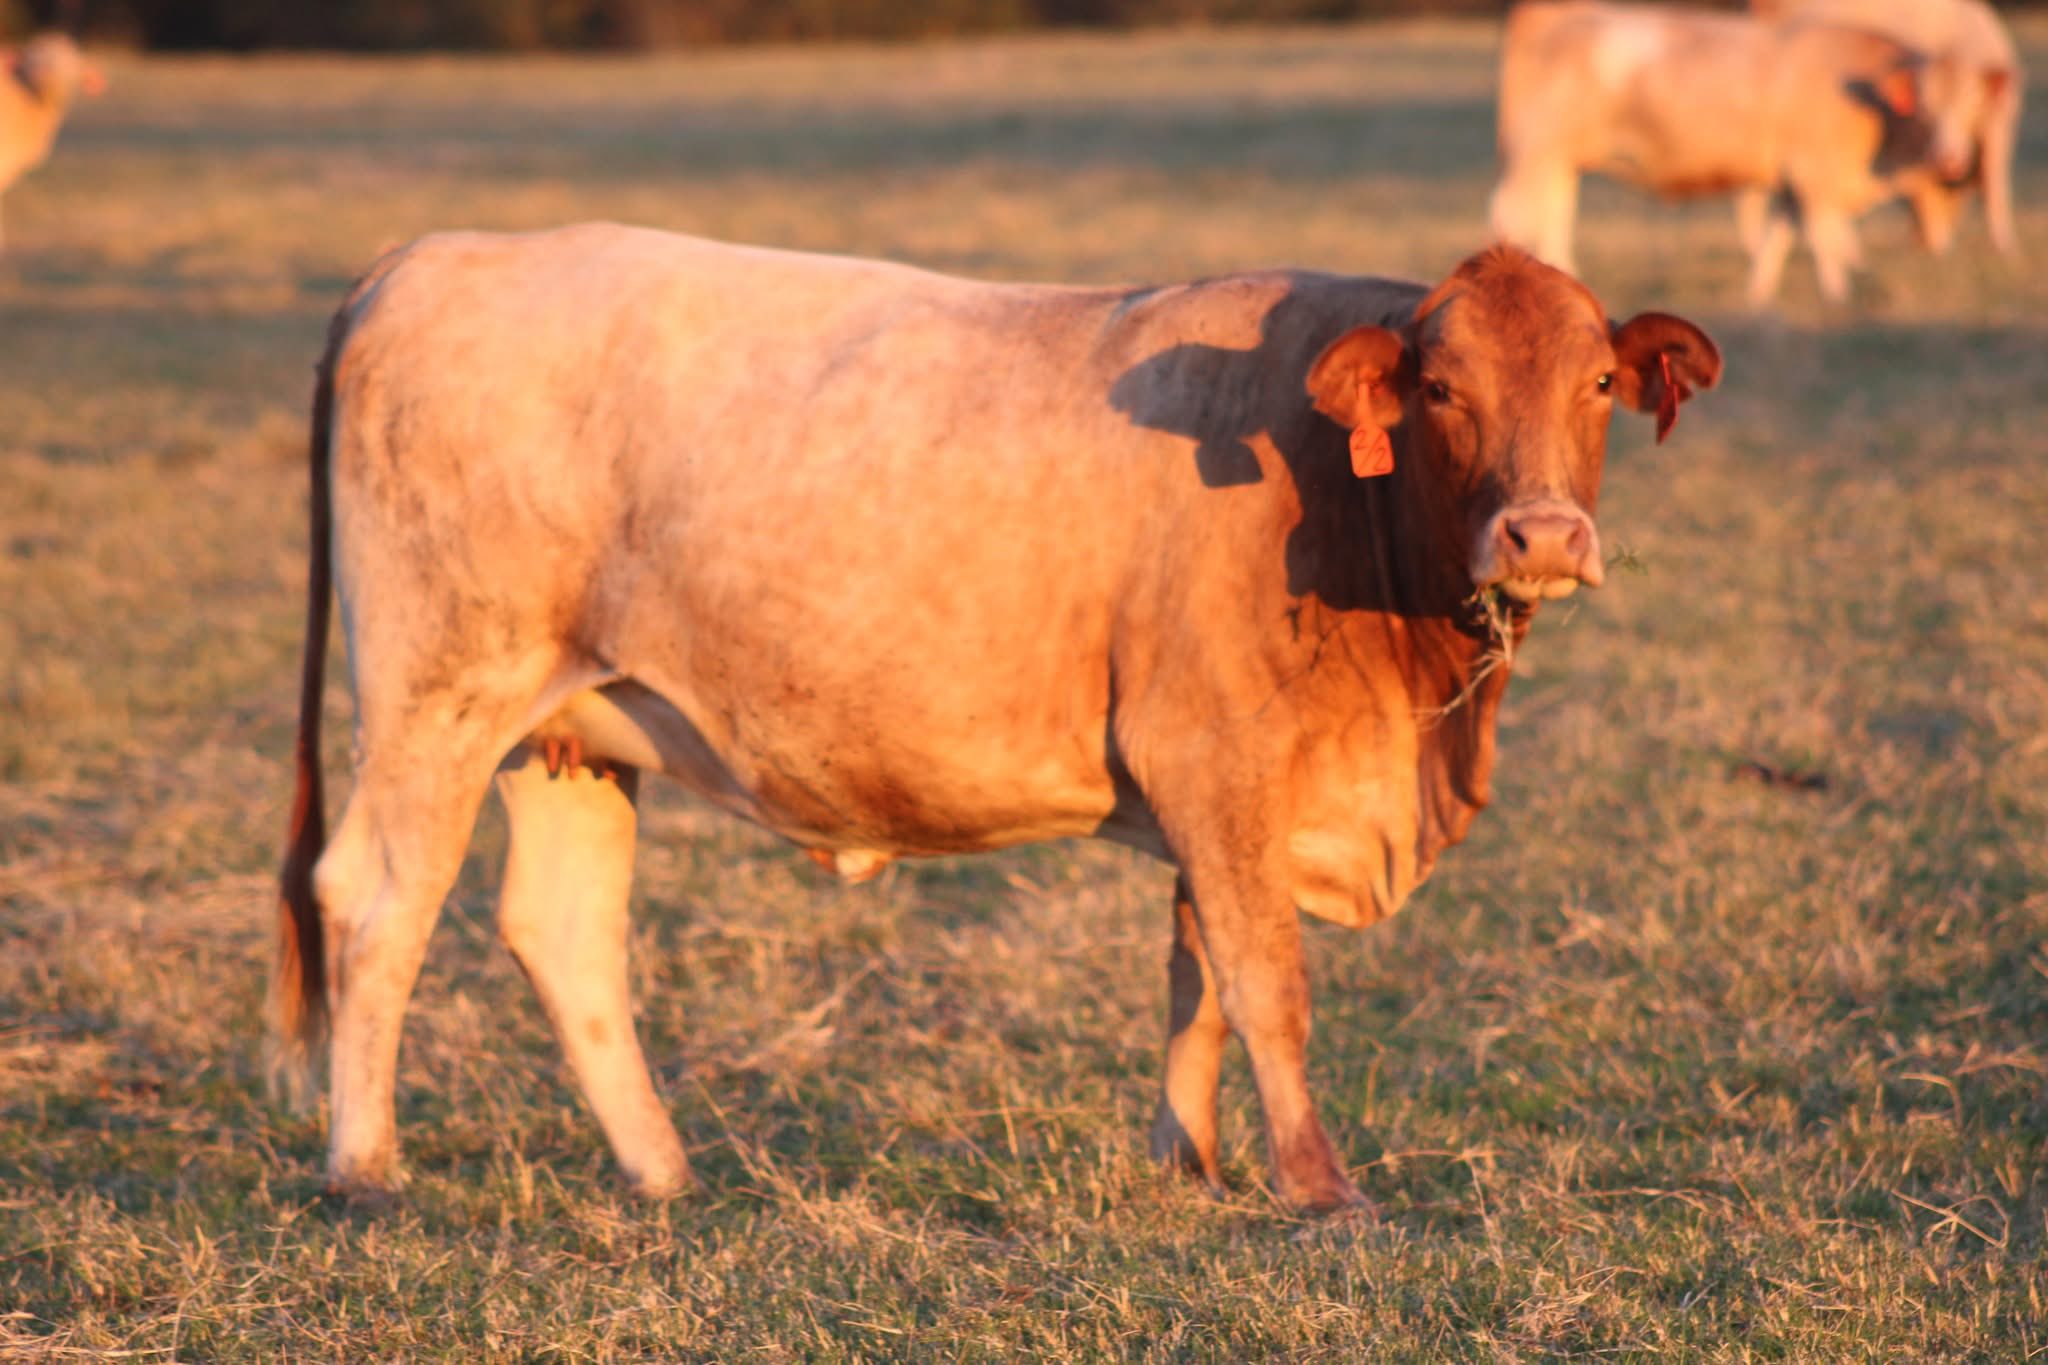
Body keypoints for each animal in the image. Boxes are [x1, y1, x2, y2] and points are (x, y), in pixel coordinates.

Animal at [270, 227, 1719, 1213]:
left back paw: (663, 1171)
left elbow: (1196, 982)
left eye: (1596, 383)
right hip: (437, 692)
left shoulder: (1211, 782)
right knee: (376, 898)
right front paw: (1318, 1188)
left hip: (570, 723)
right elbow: (1264, 981)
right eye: (1441, 390)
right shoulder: (1213, 756)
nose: (1544, 534)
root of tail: (432, 255)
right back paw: (366, 1167)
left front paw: (1187, 1168)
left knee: (562, 929)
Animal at [1489, 1, 1990, 304]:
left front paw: (1760, 292)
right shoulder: (1815, 172)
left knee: (1553, 215)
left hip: (1560, 162)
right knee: (1513, 214)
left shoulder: (1791, 179)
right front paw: (1836, 289)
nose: (1953, 158)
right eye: (1927, 106)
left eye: (1969, 108)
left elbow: (1780, 233)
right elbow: (1823, 232)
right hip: (1537, 153)